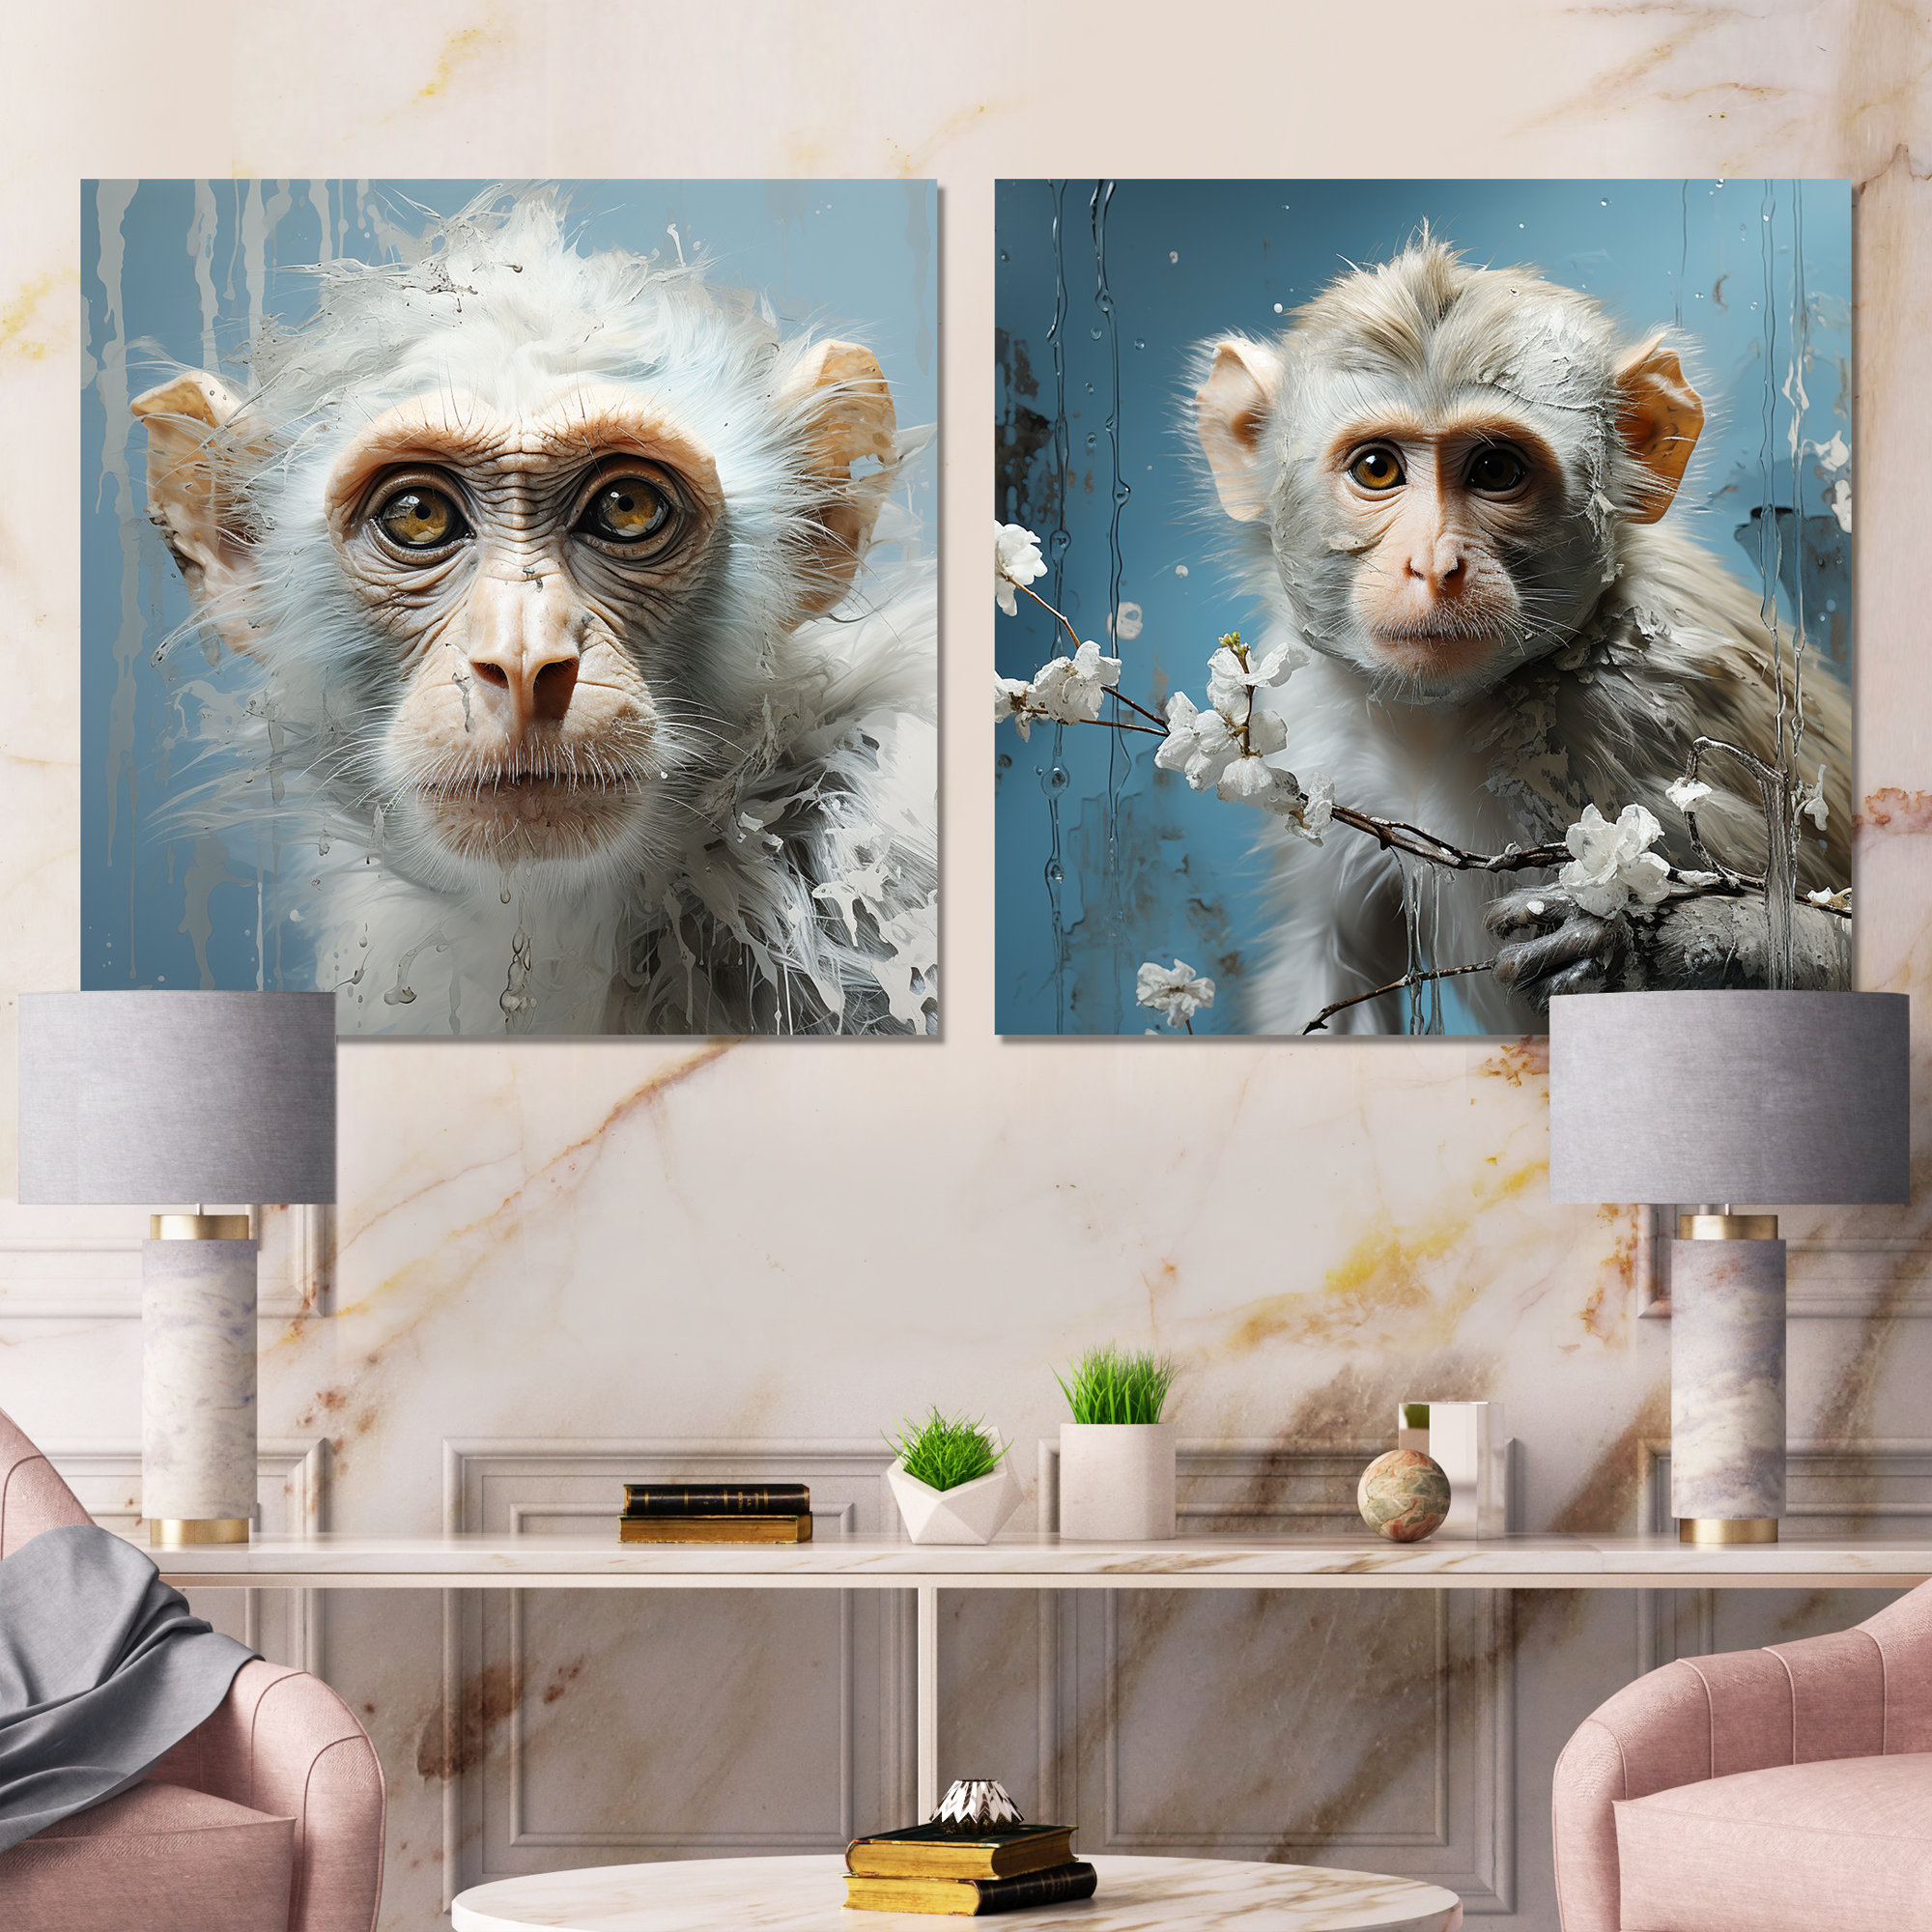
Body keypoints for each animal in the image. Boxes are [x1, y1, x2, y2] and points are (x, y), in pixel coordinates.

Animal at [1191, 235, 1851, 1035]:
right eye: (1377, 468)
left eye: (1496, 469)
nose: (1435, 563)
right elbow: (1325, 970)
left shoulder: (1650, 713)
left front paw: (1644, 940)